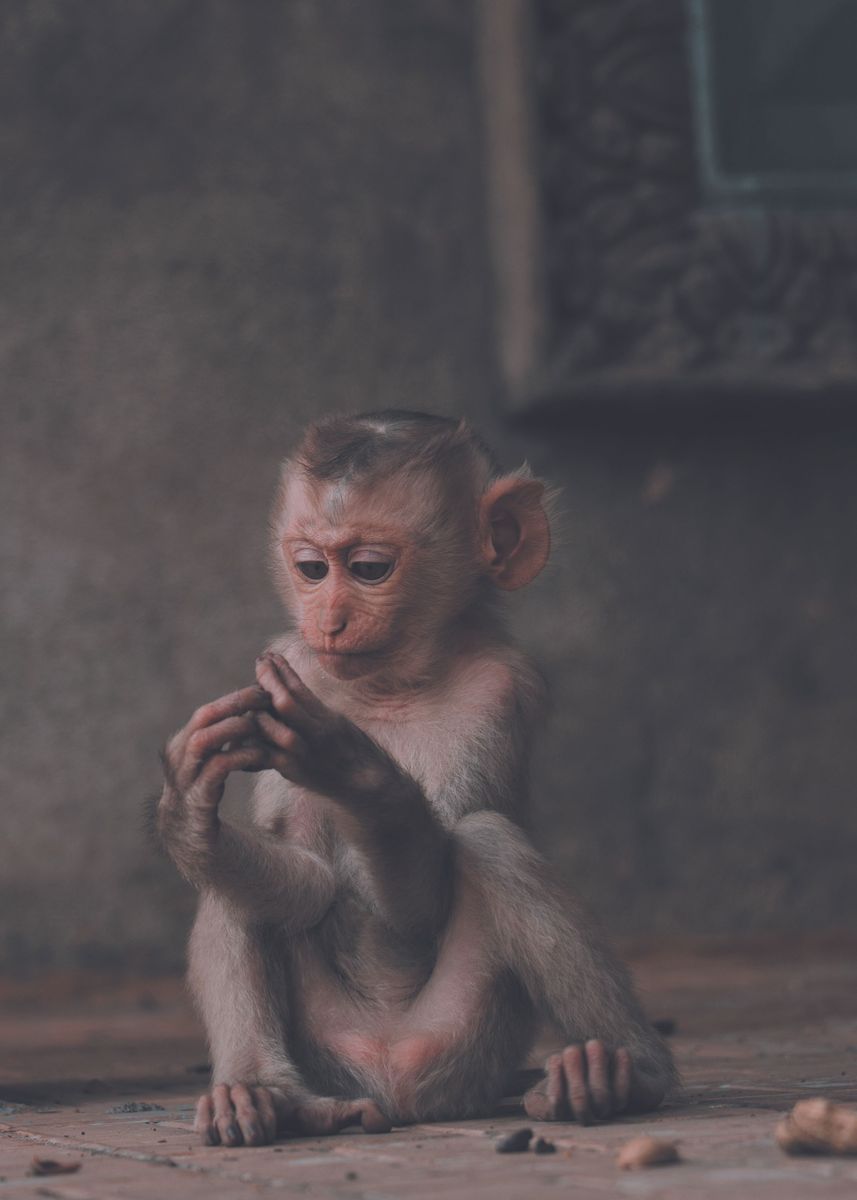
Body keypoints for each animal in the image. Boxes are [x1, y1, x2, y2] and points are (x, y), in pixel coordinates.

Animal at [156, 410, 676, 1146]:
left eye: (369, 569)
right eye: (311, 569)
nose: (328, 619)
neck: (391, 686)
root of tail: (392, 1087)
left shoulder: (499, 688)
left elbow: (419, 906)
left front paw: (355, 771)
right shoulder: (292, 661)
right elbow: (308, 881)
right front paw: (188, 811)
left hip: (468, 1040)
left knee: (488, 840)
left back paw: (625, 1073)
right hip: (327, 1046)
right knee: (234, 891)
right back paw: (267, 1094)